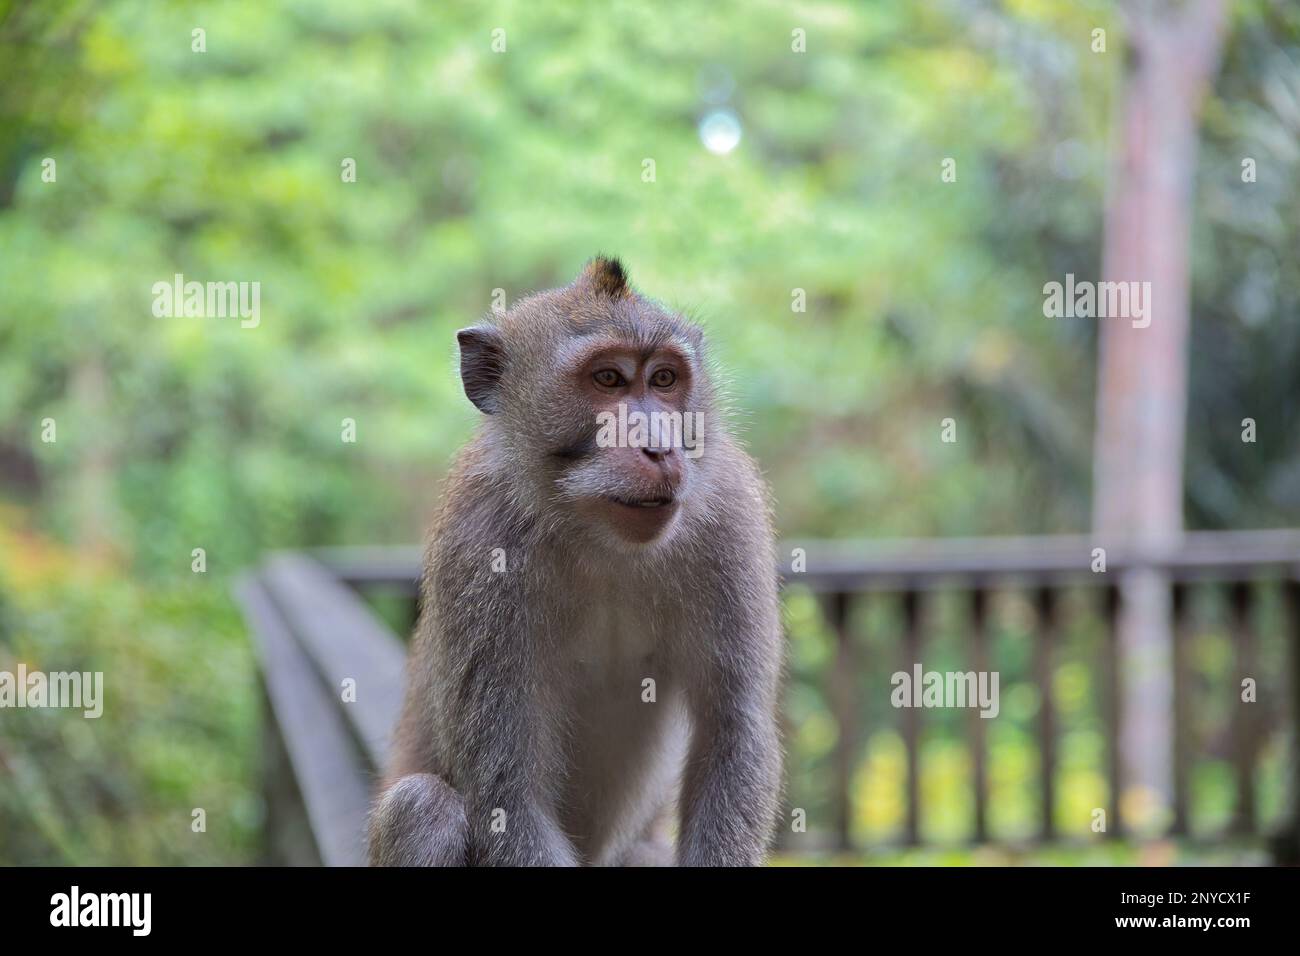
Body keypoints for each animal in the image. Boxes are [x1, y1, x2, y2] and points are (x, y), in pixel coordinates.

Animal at [367, 257, 783, 866]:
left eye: (664, 380)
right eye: (607, 379)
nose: (660, 447)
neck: (599, 536)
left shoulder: (731, 519)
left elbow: (732, 733)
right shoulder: (476, 544)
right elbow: (508, 792)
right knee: (421, 808)